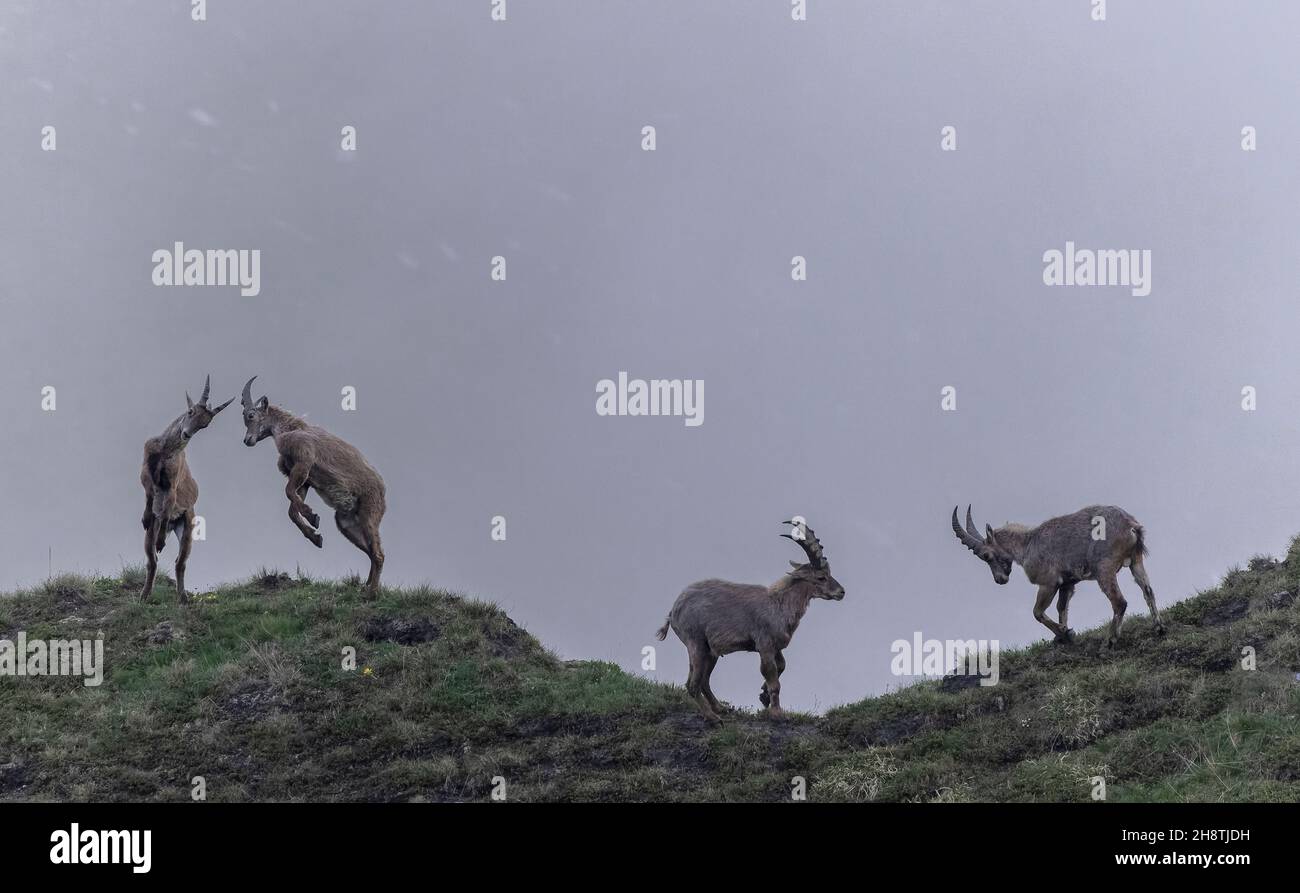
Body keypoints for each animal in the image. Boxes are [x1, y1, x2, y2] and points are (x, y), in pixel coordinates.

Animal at [139, 375, 233, 602]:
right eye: (190, 411)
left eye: (205, 424)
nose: (186, 434)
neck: (165, 451)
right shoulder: (146, 469)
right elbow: (148, 493)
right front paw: (145, 517)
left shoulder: (172, 483)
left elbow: (167, 504)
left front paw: (161, 543)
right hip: (152, 533)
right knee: (152, 562)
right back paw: (144, 595)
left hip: (187, 525)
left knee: (179, 562)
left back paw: (182, 597)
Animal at [239, 377, 387, 596]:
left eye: (251, 415)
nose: (247, 440)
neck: (290, 428)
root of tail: (383, 491)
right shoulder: (305, 480)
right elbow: (292, 510)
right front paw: (315, 536)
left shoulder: (303, 463)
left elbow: (288, 492)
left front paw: (312, 516)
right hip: (346, 523)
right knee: (370, 551)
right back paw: (366, 586)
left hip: (370, 512)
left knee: (378, 554)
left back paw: (372, 592)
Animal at [655, 521, 845, 724]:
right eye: (821, 577)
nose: (841, 592)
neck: (779, 604)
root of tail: (673, 611)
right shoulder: (765, 645)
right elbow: (774, 680)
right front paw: (777, 714)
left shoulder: (775, 647)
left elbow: (782, 666)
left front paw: (764, 697)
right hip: (696, 643)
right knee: (693, 684)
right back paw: (713, 718)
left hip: (710, 650)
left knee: (703, 680)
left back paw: (720, 708)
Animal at [951, 504, 1165, 648]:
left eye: (986, 555)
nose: (1000, 580)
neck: (1028, 544)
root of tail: (1132, 526)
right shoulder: (1067, 583)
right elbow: (1062, 608)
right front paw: (1063, 636)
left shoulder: (1048, 583)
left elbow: (1037, 612)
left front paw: (1064, 632)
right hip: (1136, 561)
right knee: (1148, 591)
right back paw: (1159, 628)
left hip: (1104, 569)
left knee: (1120, 602)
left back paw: (1110, 640)